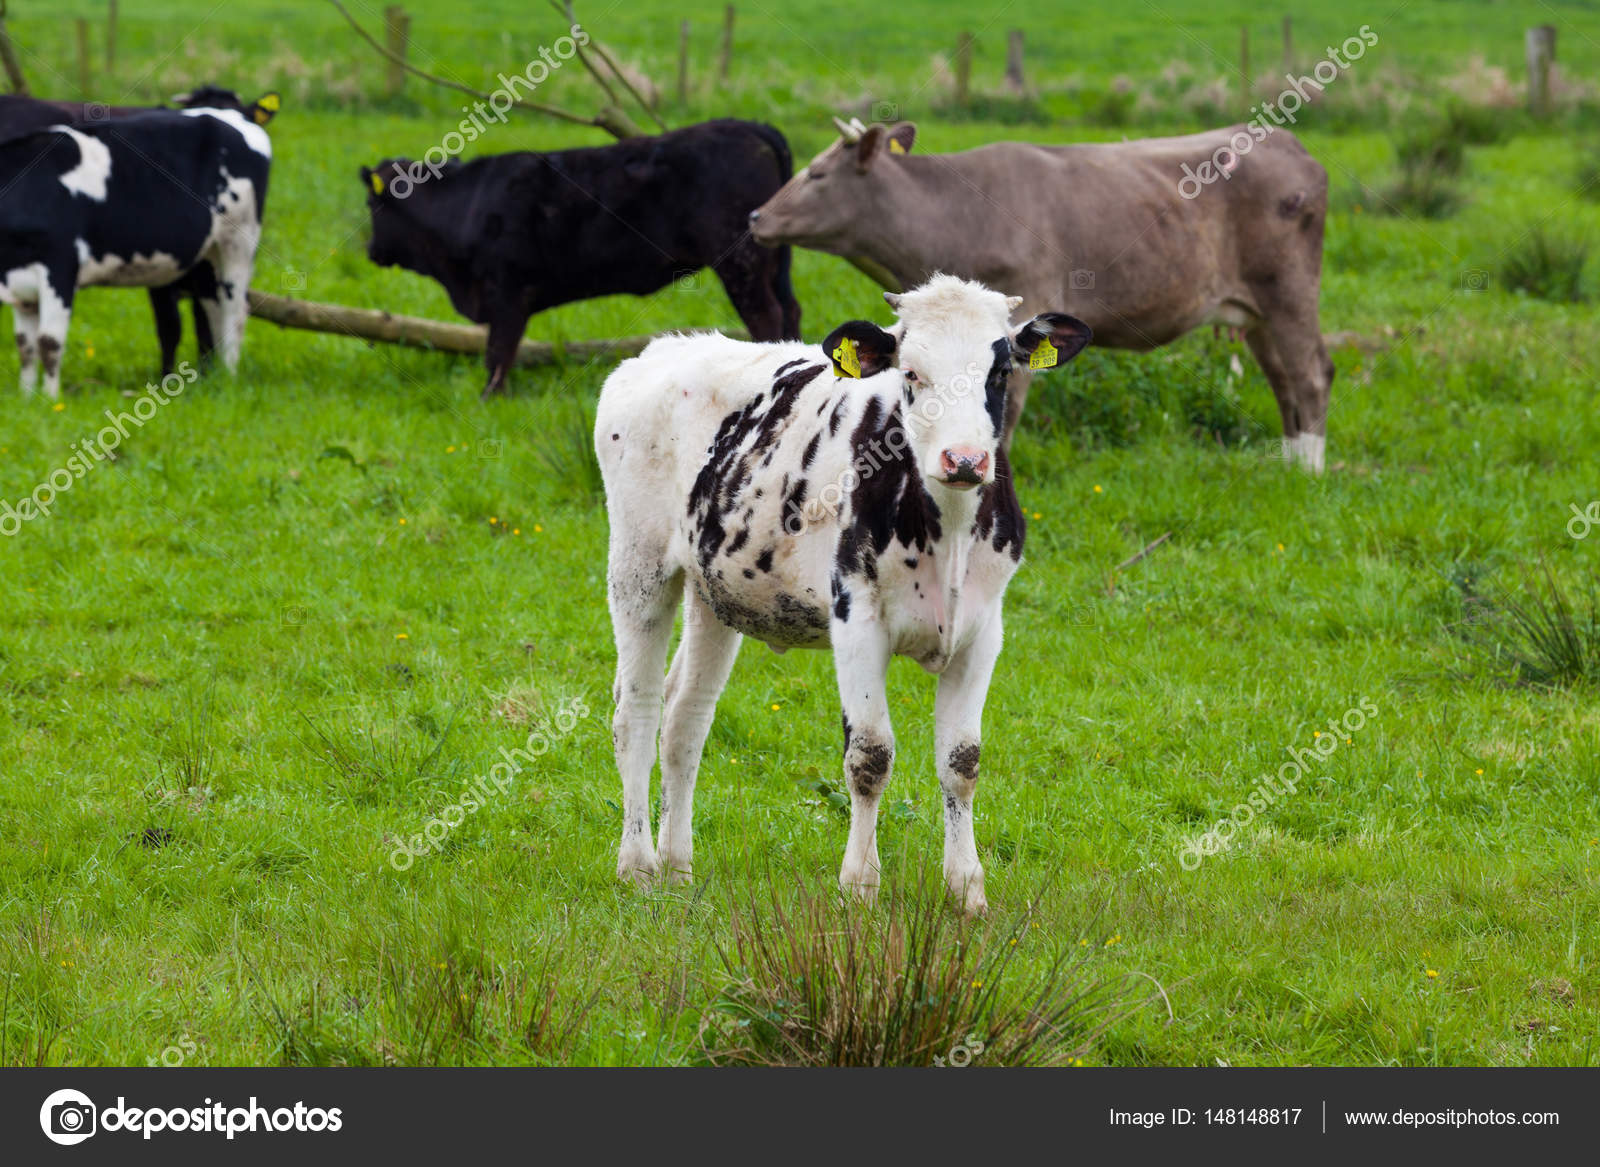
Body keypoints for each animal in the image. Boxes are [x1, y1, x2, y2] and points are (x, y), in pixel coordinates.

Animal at [0, 87, 278, 381]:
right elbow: (26, 345)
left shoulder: (60, 267)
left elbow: (49, 342)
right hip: (206, 254)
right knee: (211, 309)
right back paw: (213, 377)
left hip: (237, 244)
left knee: (234, 311)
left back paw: (227, 377)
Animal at [360, 118, 802, 399]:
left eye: (371, 205)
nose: (371, 251)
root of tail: (749, 126)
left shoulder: (507, 292)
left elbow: (499, 351)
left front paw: (490, 398)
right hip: (774, 261)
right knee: (790, 311)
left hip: (742, 262)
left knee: (766, 315)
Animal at [596, 274, 1092, 914]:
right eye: (911, 373)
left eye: (1001, 371)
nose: (964, 459)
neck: (949, 533)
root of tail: (664, 349)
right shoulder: (857, 619)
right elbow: (870, 755)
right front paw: (859, 884)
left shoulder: (985, 629)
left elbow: (962, 761)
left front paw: (967, 889)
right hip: (639, 566)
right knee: (637, 709)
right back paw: (637, 866)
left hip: (714, 590)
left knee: (686, 715)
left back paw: (679, 867)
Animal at [749, 118, 1333, 472]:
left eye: (817, 173)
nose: (756, 216)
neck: (953, 212)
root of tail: (1289, 144)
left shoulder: (1024, 310)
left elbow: (1004, 417)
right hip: (1256, 312)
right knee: (1282, 379)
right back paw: (1289, 460)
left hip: (1288, 292)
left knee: (1310, 373)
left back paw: (1309, 471)